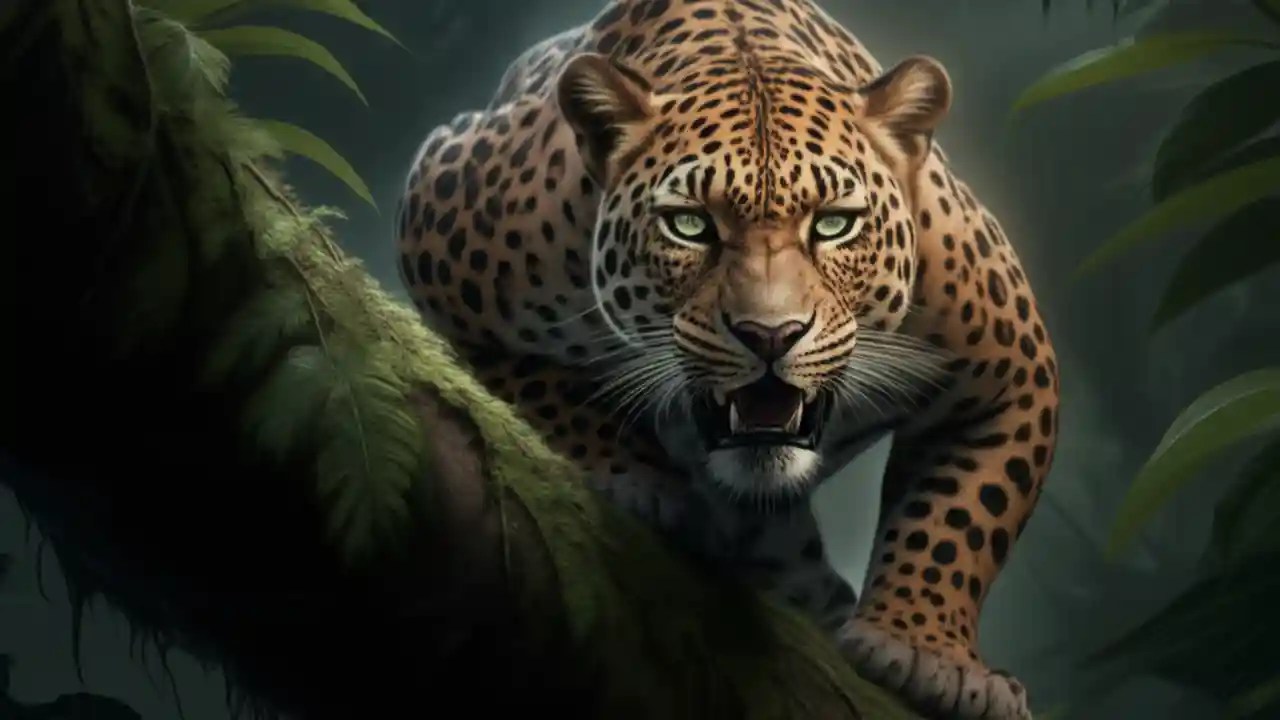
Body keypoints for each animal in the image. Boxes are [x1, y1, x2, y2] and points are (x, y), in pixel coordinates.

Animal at [394, 1, 1061, 718]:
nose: (770, 334)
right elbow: (535, 386)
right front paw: (636, 478)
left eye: (833, 224)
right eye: (689, 225)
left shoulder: (1013, 367)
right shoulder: (437, 237)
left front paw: (926, 650)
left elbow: (965, 515)